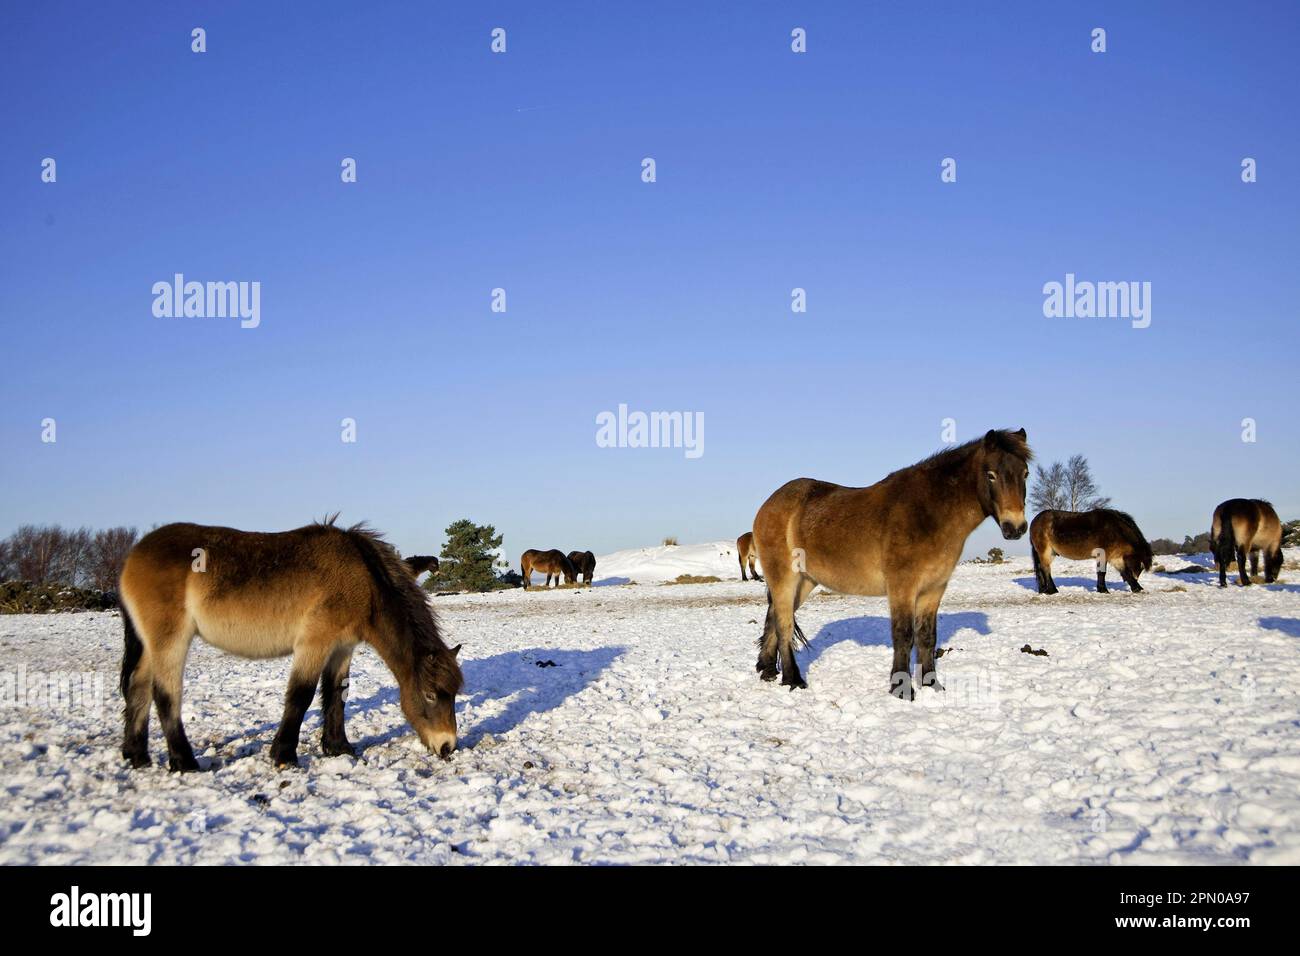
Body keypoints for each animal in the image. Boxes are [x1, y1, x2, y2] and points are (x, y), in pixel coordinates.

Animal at [117, 520, 463, 771]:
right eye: (430, 695)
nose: (447, 746)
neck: (362, 578)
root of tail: (132, 556)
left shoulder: (342, 647)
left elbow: (336, 694)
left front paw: (339, 748)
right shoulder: (314, 643)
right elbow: (301, 695)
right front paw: (284, 755)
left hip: (150, 645)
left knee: (138, 687)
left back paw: (137, 756)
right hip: (170, 641)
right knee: (165, 695)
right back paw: (185, 762)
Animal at [752, 428, 1032, 697]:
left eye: (1025, 474)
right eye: (991, 474)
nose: (1015, 528)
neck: (928, 514)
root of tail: (769, 504)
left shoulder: (933, 589)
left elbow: (927, 637)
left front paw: (932, 685)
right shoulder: (902, 587)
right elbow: (904, 635)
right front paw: (902, 690)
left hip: (805, 581)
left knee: (774, 618)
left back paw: (768, 670)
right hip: (785, 578)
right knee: (784, 624)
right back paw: (793, 680)